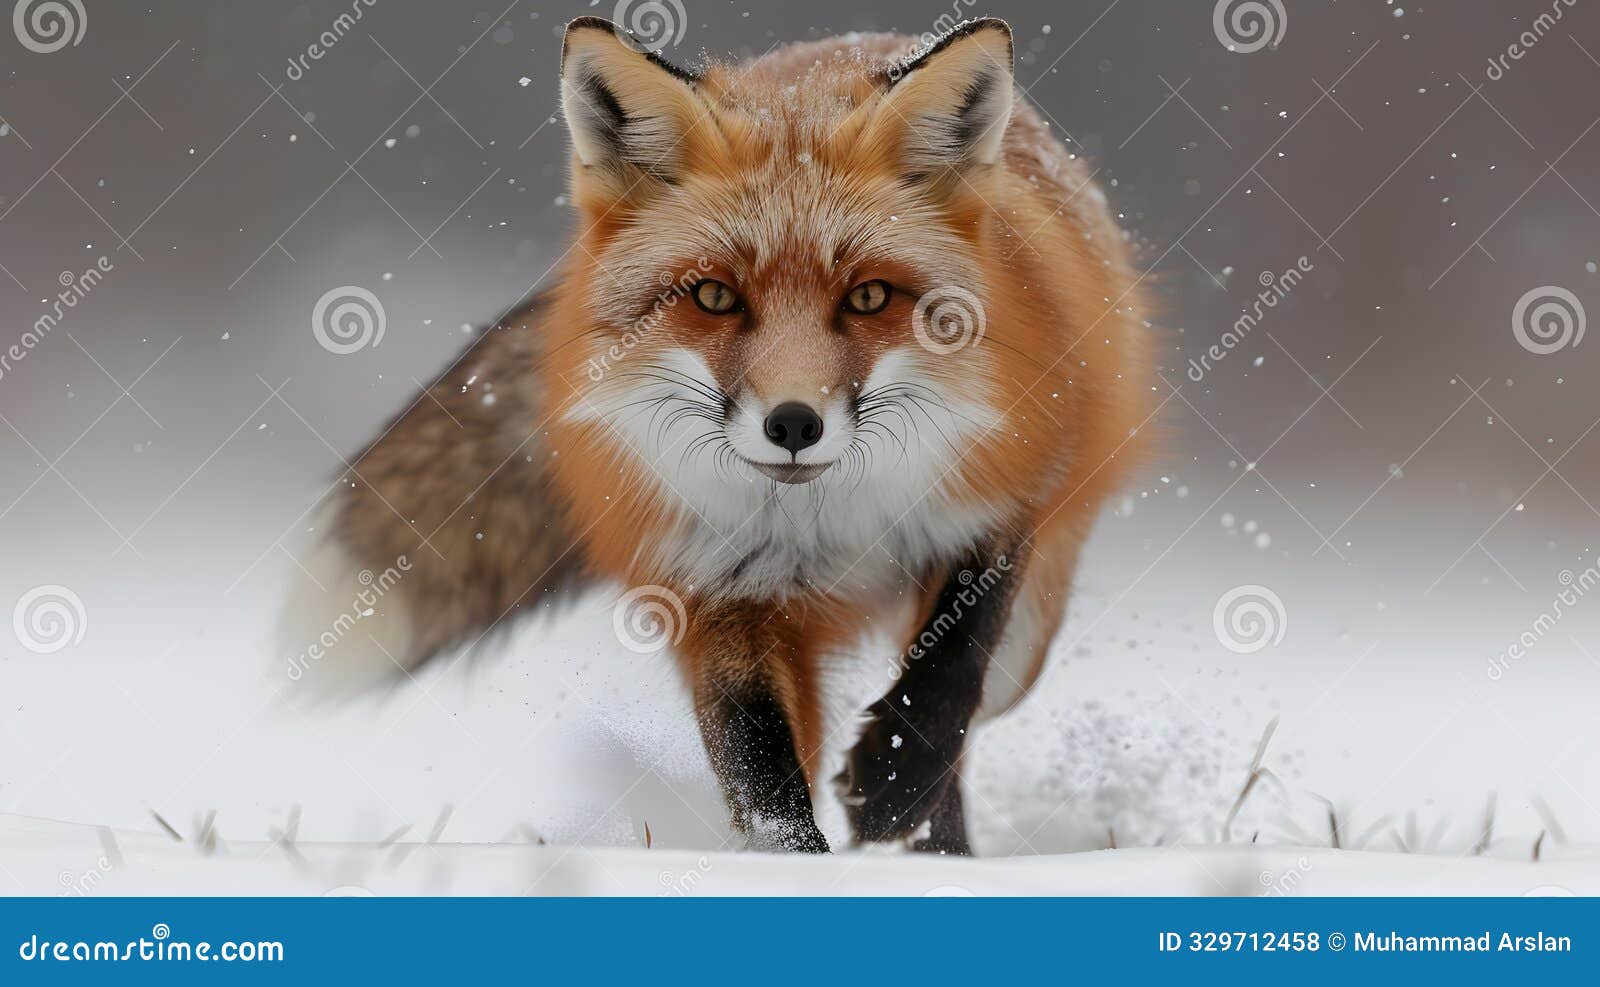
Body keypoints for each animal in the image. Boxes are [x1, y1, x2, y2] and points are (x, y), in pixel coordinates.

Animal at [281, 16, 1153, 854]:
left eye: (869, 296)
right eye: (714, 296)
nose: (793, 422)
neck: (831, 518)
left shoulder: (1000, 507)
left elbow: (950, 672)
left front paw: (893, 784)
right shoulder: (712, 582)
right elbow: (755, 757)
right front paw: (790, 866)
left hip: (1029, 640)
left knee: (973, 715)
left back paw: (943, 851)